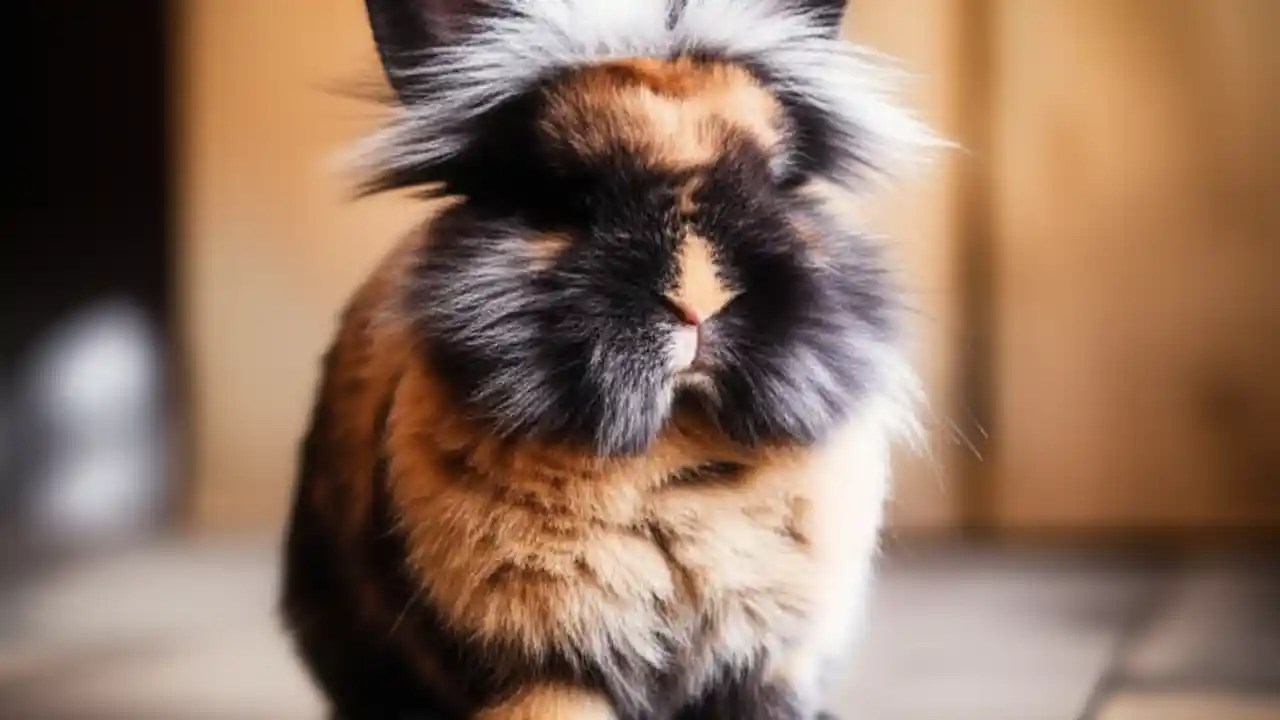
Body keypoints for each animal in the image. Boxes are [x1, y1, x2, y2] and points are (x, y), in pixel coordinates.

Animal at [282, 1, 934, 718]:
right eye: (567, 201)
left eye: (780, 184)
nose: (698, 301)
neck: (675, 446)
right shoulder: (549, 671)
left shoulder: (769, 667)